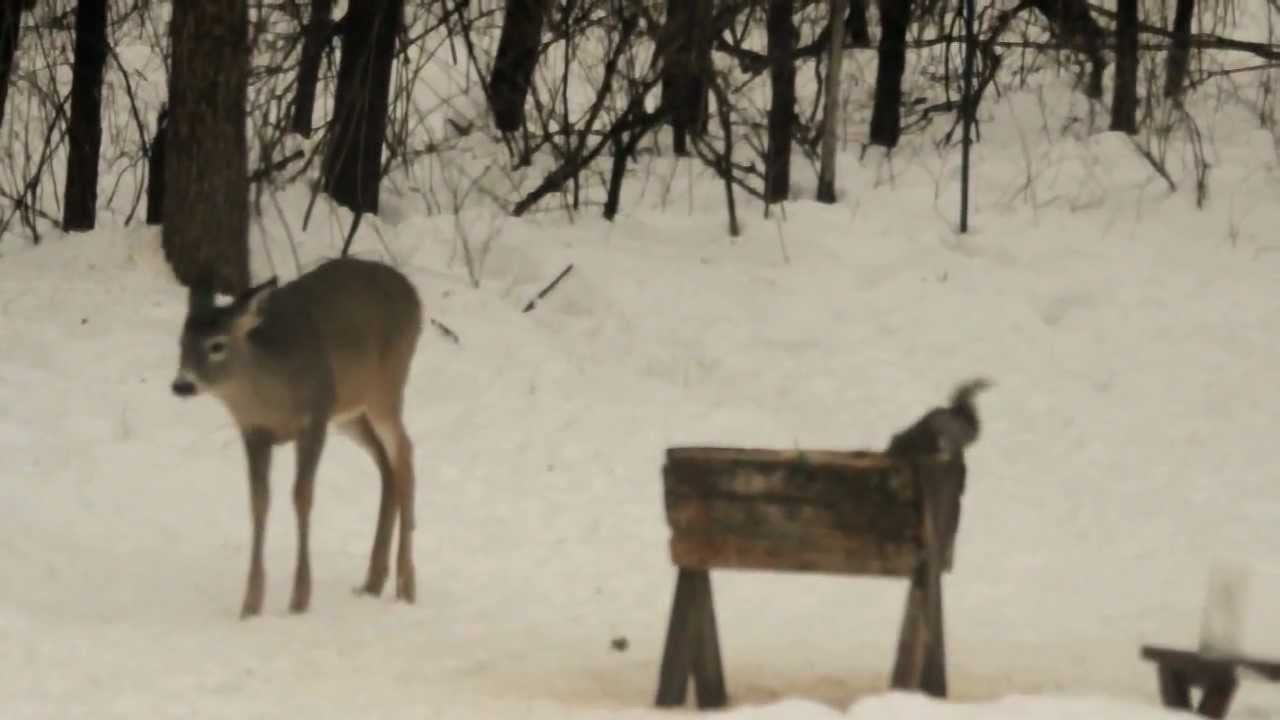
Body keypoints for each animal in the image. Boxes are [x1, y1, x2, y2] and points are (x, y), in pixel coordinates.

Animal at [171, 257, 423, 619]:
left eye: (217, 345)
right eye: (181, 342)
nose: (182, 384)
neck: (273, 393)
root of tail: (413, 293)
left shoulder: (315, 416)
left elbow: (302, 496)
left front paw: (299, 599)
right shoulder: (254, 431)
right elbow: (259, 502)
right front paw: (251, 605)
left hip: (385, 389)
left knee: (405, 453)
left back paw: (406, 585)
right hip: (351, 413)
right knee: (387, 465)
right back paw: (373, 582)